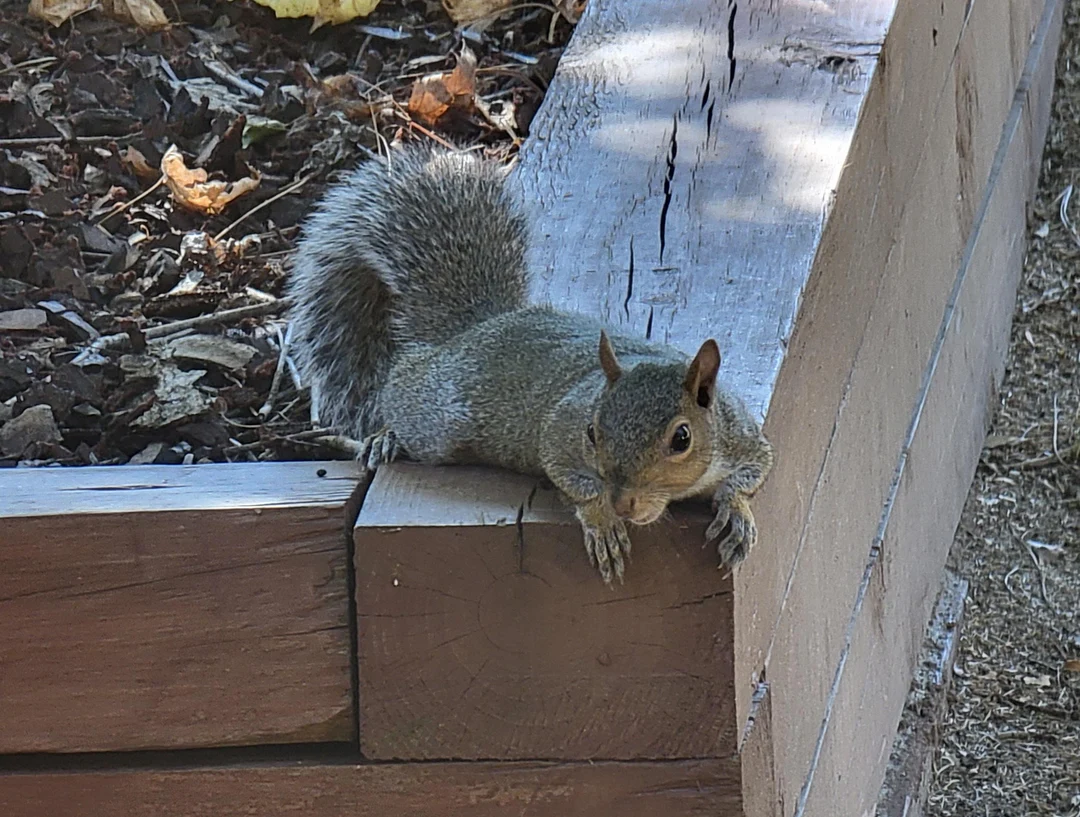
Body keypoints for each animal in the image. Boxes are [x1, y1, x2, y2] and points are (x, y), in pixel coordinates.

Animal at [287, 144, 774, 584]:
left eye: (682, 438)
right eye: (592, 431)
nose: (624, 503)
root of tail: (481, 327)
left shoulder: (743, 435)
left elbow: (757, 470)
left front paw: (736, 510)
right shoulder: (560, 427)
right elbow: (571, 476)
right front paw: (602, 520)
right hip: (439, 413)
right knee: (403, 380)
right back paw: (385, 438)